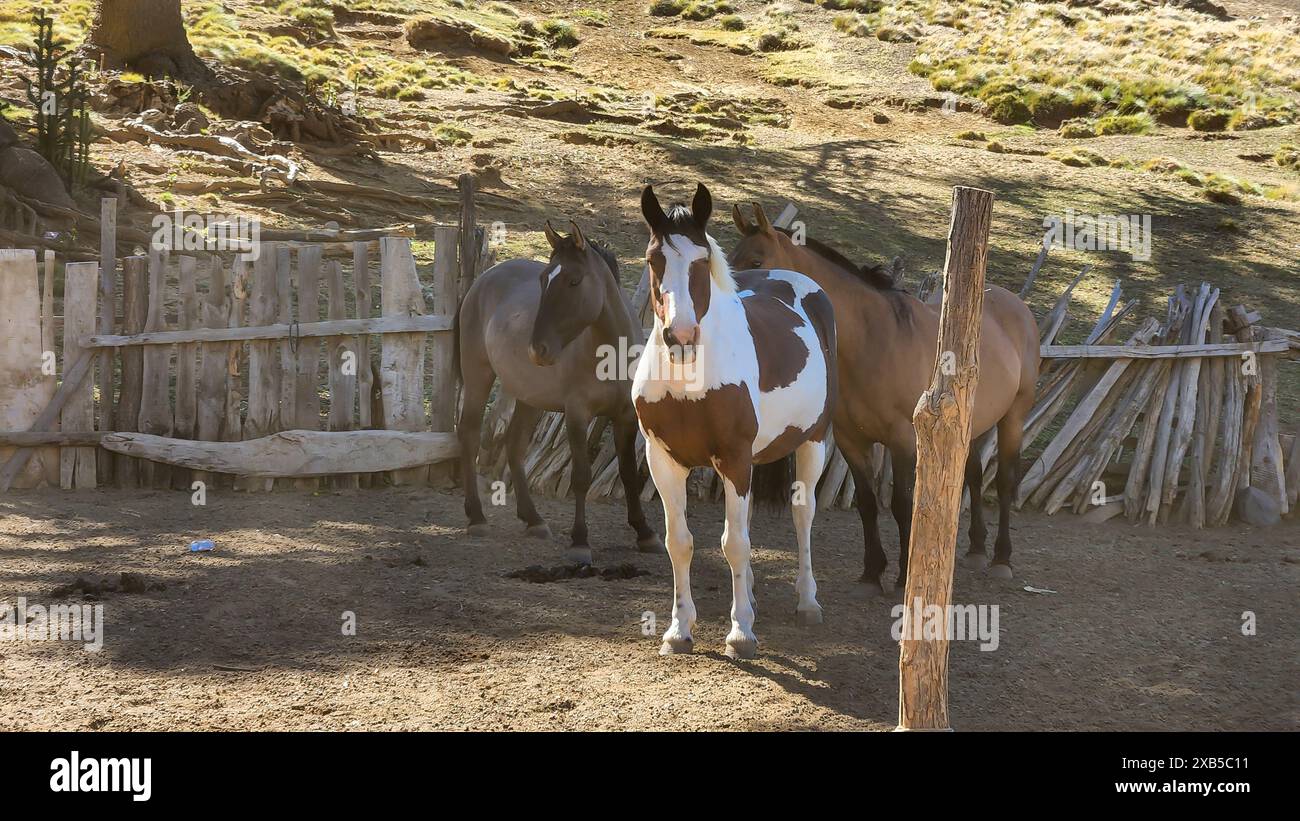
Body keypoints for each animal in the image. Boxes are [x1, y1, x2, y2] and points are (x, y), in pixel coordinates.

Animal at [456, 220, 661, 565]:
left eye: (574, 280)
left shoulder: (625, 416)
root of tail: (484, 279)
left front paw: (645, 533)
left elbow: (629, 474)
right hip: (477, 377)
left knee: (514, 445)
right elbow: (581, 476)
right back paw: (477, 517)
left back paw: (533, 520)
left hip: (528, 397)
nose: (537, 350)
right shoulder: (577, 415)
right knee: (469, 435)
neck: (609, 354)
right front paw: (580, 541)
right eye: (543, 280)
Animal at [632, 183, 837, 659]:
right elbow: (680, 542)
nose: (681, 337)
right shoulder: (663, 462)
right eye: (654, 259)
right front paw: (679, 630)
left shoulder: (734, 459)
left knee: (803, 514)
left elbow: (736, 544)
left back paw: (807, 601)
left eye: (701, 261)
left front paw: (741, 631)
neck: (688, 382)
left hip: (813, 441)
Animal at [729, 203, 1040, 594]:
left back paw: (1001, 558)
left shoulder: (904, 438)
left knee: (1004, 481)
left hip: (1013, 417)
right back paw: (976, 549)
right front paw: (872, 572)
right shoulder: (851, 440)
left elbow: (903, 503)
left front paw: (905, 573)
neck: (873, 340)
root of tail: (1017, 306)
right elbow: (867, 502)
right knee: (971, 474)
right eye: (730, 259)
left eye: (757, 262)